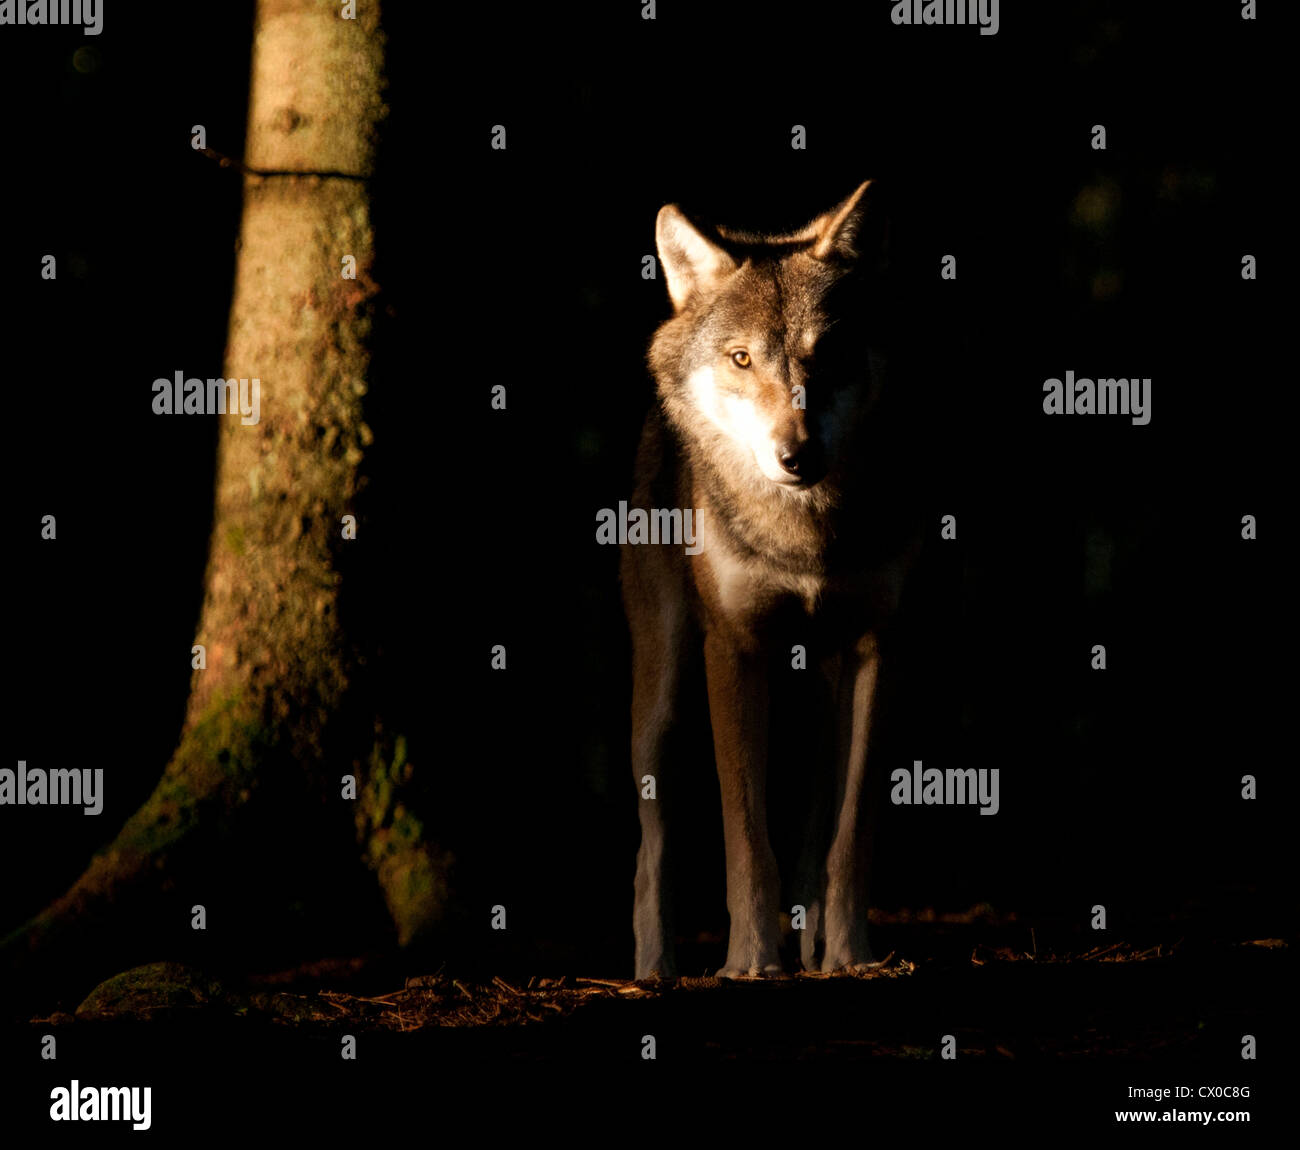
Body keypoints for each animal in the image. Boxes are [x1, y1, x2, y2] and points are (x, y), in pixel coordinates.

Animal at [624, 181, 918, 979]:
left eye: (828, 356)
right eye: (742, 358)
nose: (798, 454)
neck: (804, 539)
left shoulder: (879, 648)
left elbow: (850, 836)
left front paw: (851, 953)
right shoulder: (735, 650)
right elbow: (746, 837)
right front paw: (750, 960)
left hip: (823, 686)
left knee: (816, 823)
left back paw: (813, 944)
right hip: (661, 699)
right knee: (652, 851)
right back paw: (653, 970)